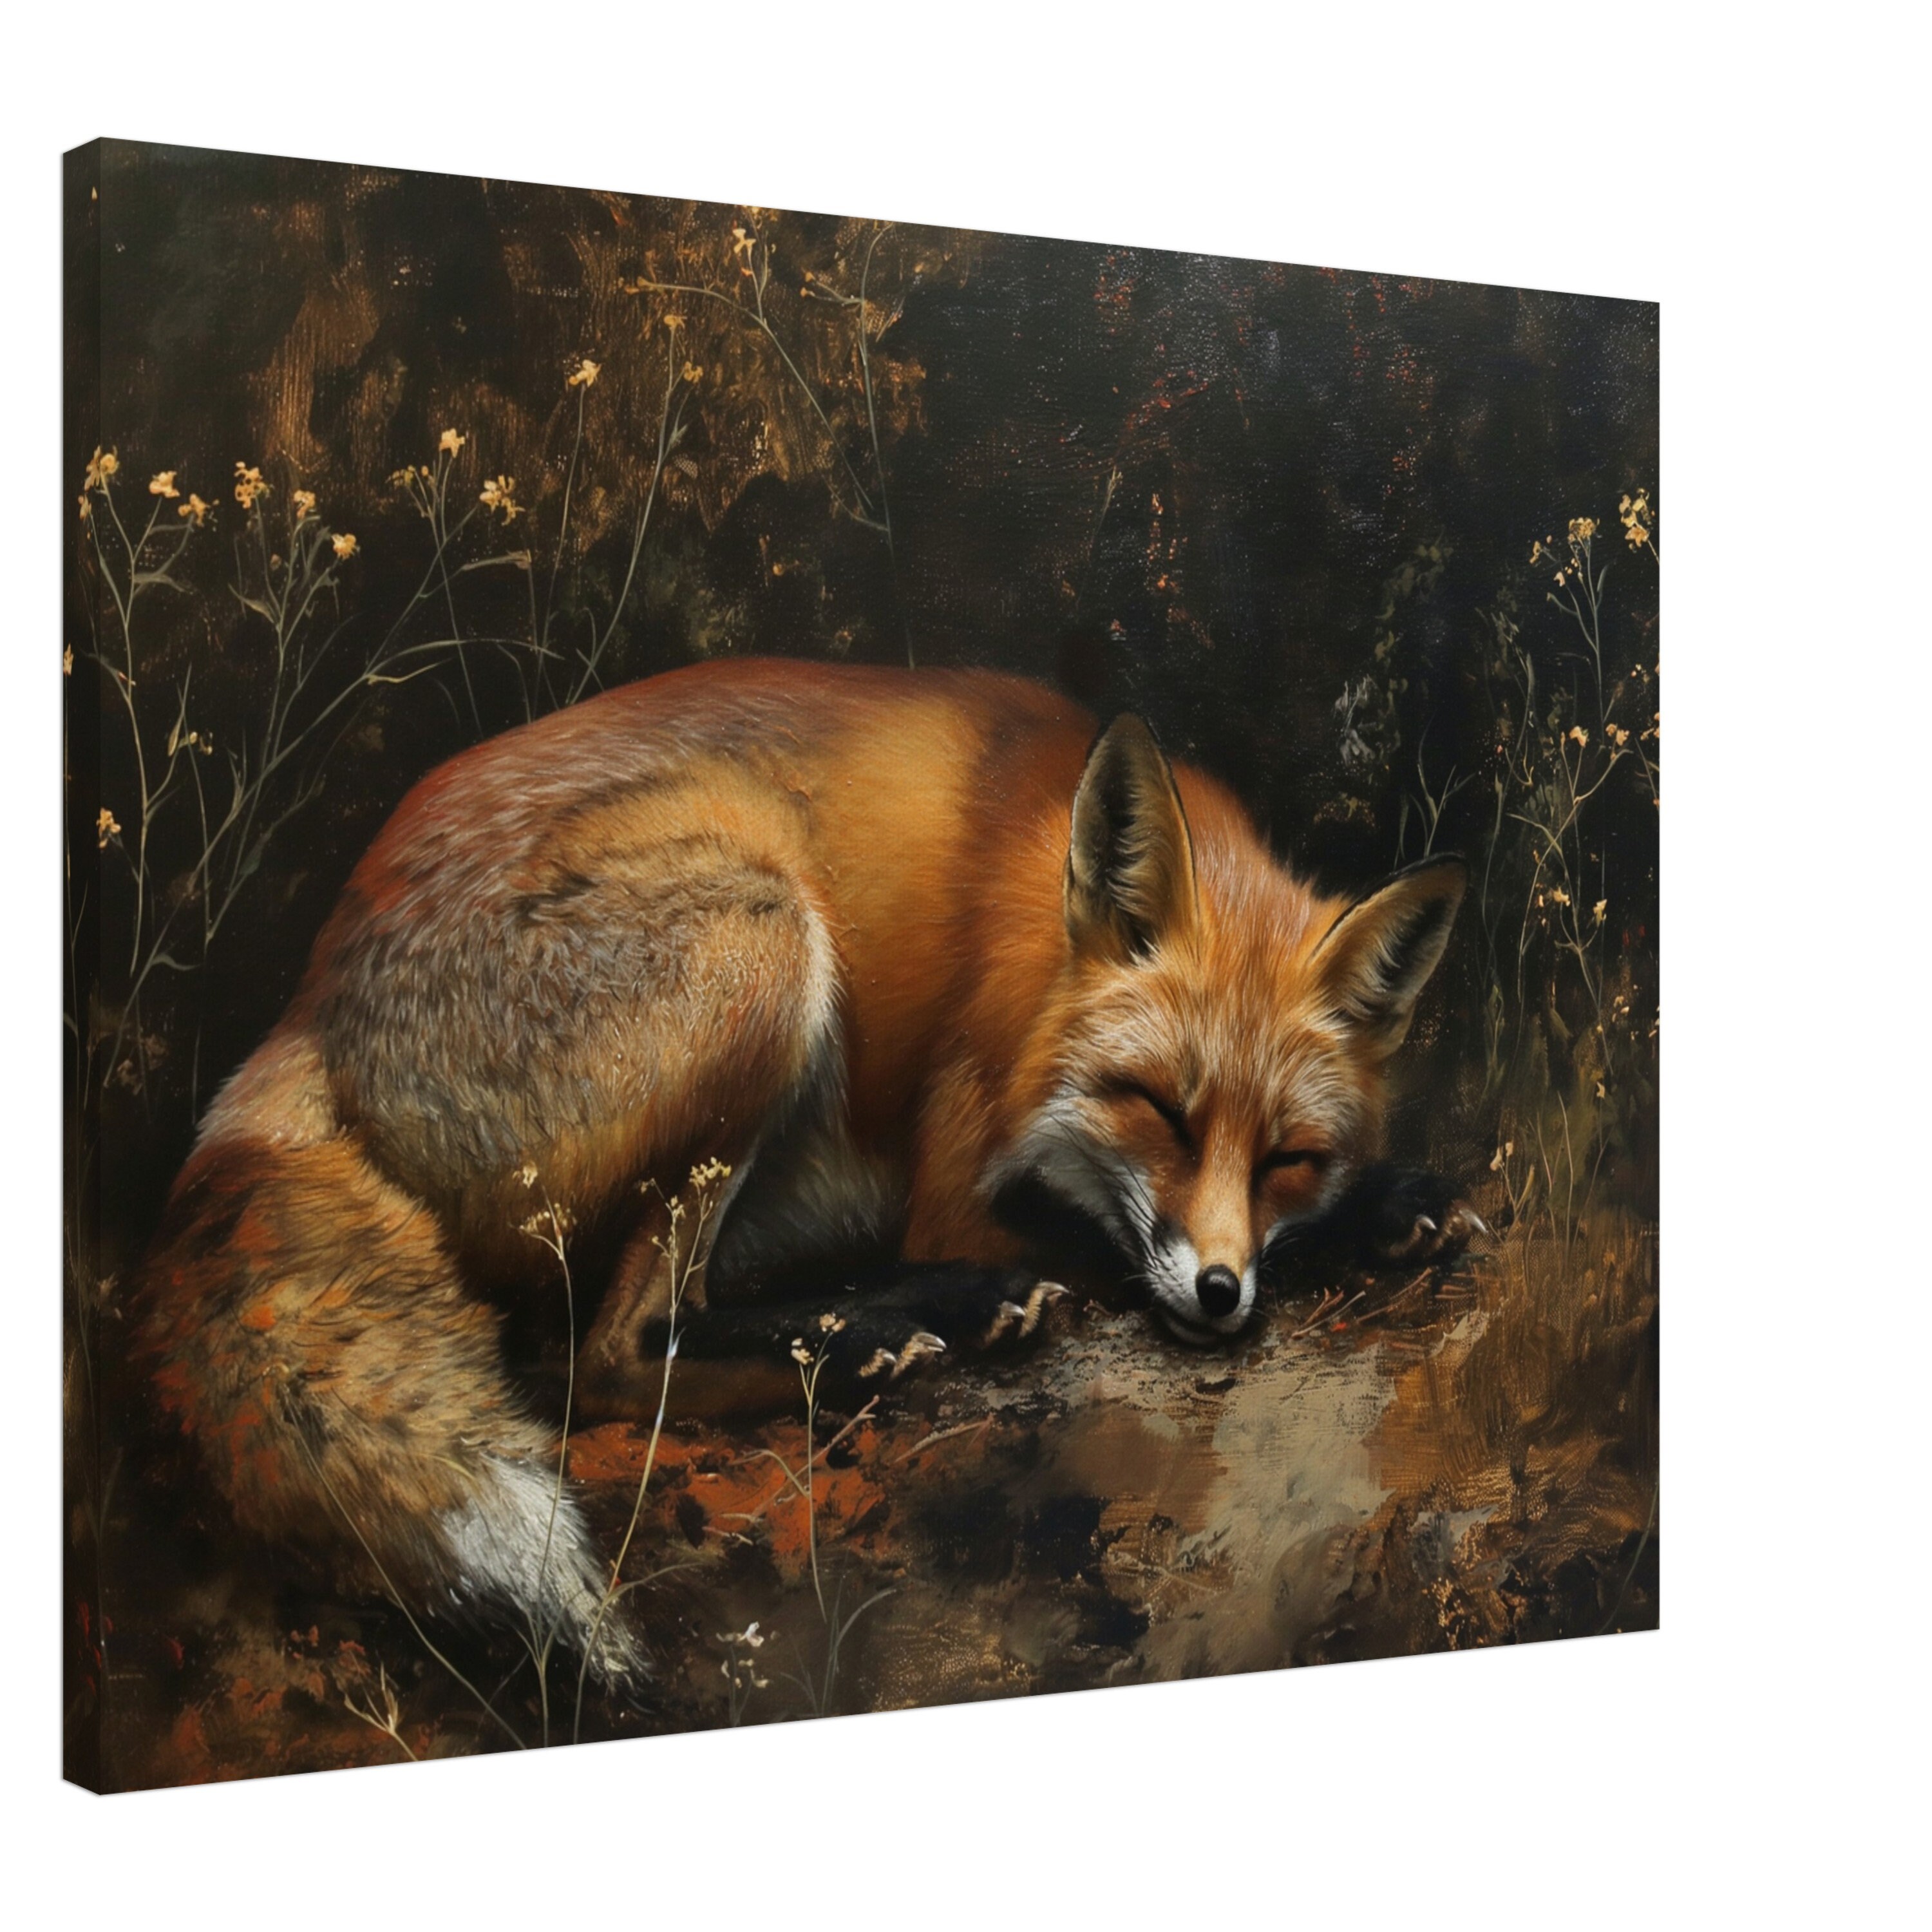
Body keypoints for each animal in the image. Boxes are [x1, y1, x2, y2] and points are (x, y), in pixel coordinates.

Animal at [132, 657, 1477, 1682]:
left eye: (1291, 1157)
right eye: (1156, 1109)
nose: (1220, 1294)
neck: (1029, 936)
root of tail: (309, 1005)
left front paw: (1392, 1205)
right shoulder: (954, 1172)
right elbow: (1064, 1245)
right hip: (765, 946)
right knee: (610, 1356)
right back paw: (888, 1334)